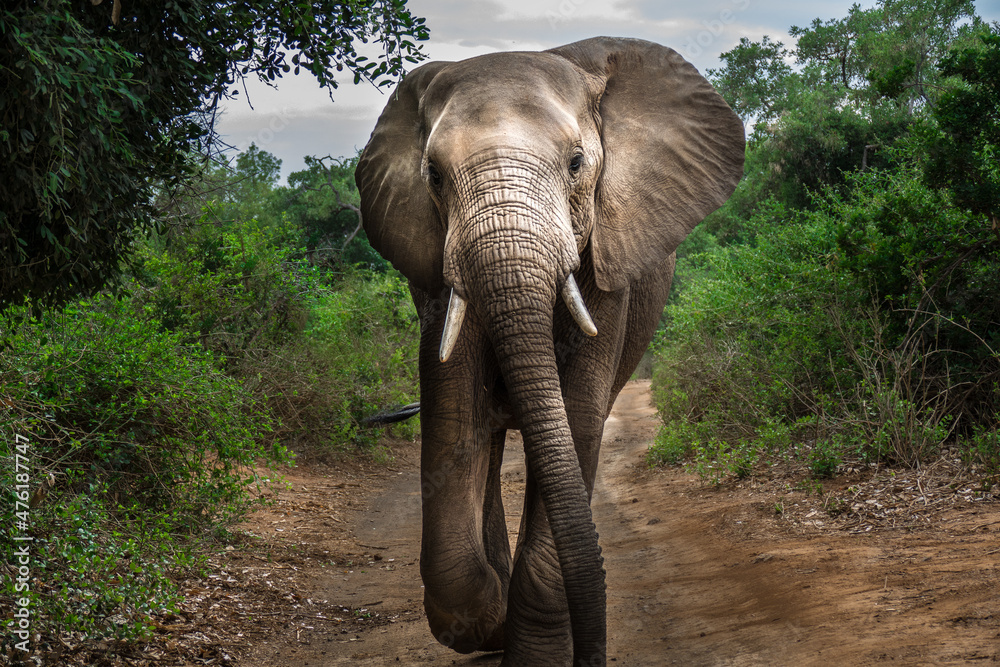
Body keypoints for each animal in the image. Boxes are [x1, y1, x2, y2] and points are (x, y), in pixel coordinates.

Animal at [355, 36, 744, 666]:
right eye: (433, 176)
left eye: (577, 164)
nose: (595, 654)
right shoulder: (436, 284)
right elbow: (456, 416)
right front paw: (486, 623)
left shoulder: (609, 268)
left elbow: (578, 414)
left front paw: (531, 653)